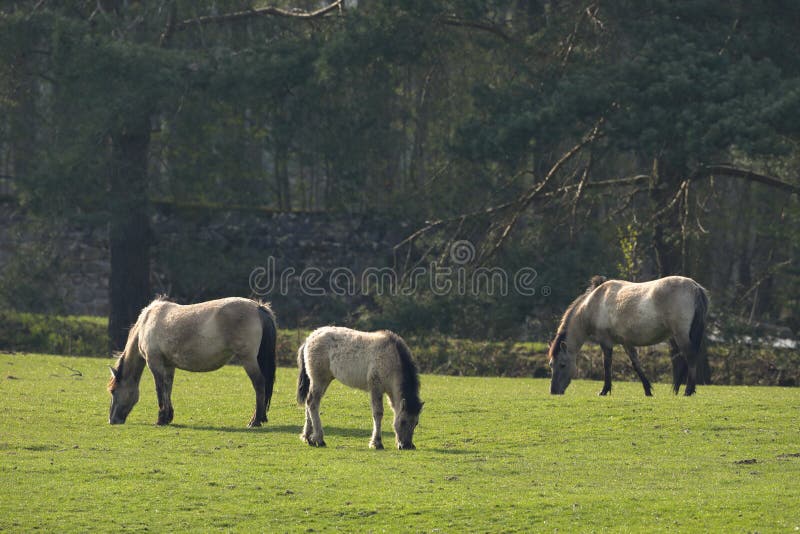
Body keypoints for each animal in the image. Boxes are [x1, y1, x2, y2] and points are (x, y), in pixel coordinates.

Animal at [108, 296, 277, 427]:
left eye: (113, 391)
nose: (112, 420)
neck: (148, 321)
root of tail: (257, 307)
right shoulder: (169, 366)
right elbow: (167, 389)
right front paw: (168, 417)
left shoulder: (155, 363)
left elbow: (160, 389)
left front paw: (161, 419)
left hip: (248, 360)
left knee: (259, 384)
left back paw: (255, 421)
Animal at [549, 275, 709, 396]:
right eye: (551, 365)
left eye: (562, 364)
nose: (554, 391)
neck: (594, 303)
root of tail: (695, 287)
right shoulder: (626, 342)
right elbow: (636, 364)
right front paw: (647, 390)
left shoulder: (605, 341)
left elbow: (607, 364)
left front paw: (604, 390)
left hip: (681, 335)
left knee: (690, 356)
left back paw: (688, 390)